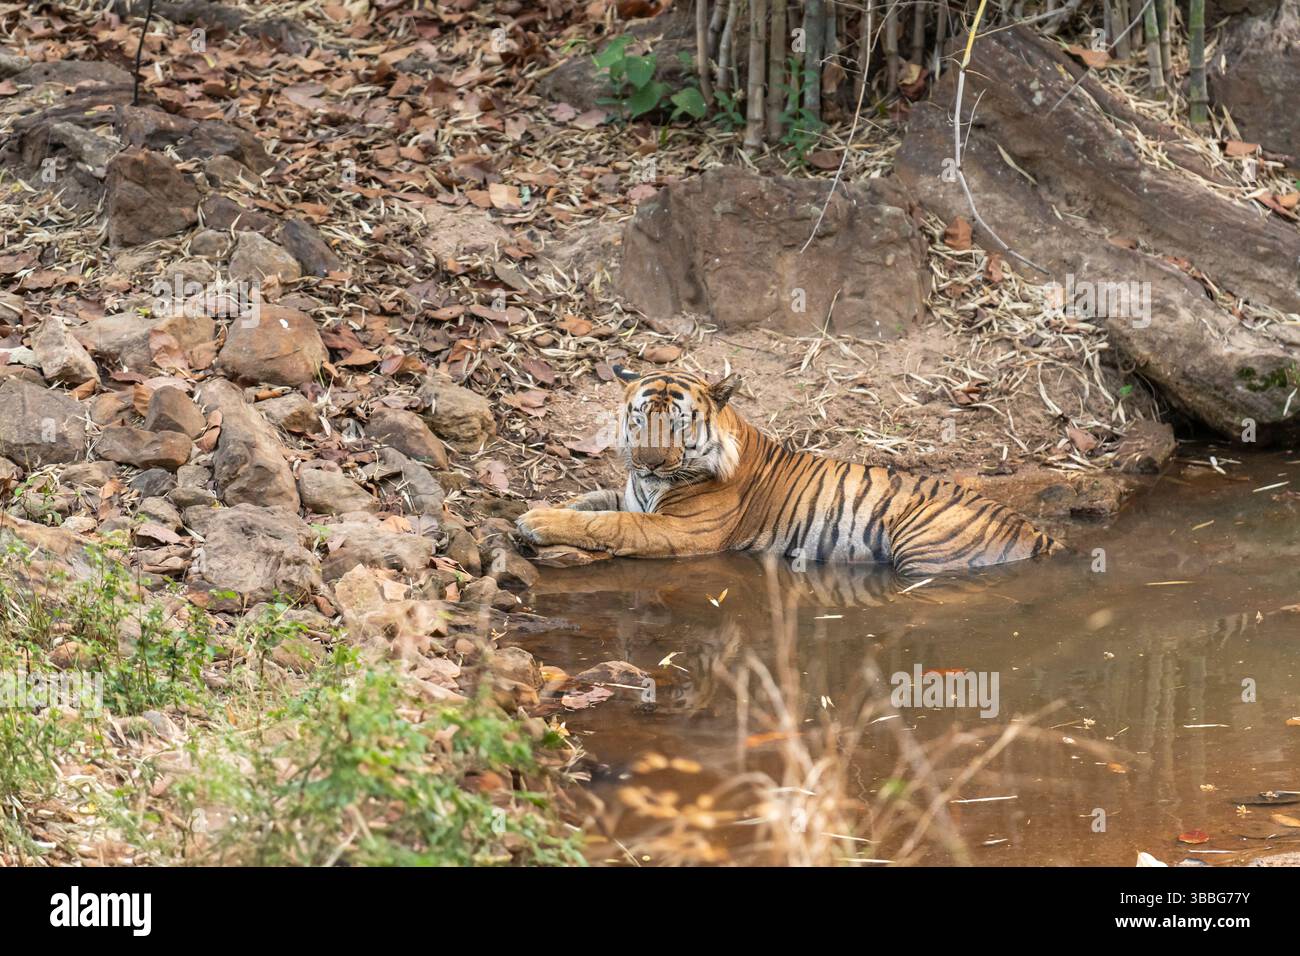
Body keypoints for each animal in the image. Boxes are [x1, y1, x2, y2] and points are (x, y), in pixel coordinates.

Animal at [514, 367, 1060, 575]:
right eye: (638, 418)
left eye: (677, 424)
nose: (649, 462)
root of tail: (1037, 531)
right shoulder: (630, 495)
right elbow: (588, 502)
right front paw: (527, 514)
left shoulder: (680, 530)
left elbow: (606, 522)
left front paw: (535, 522)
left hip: (923, 550)